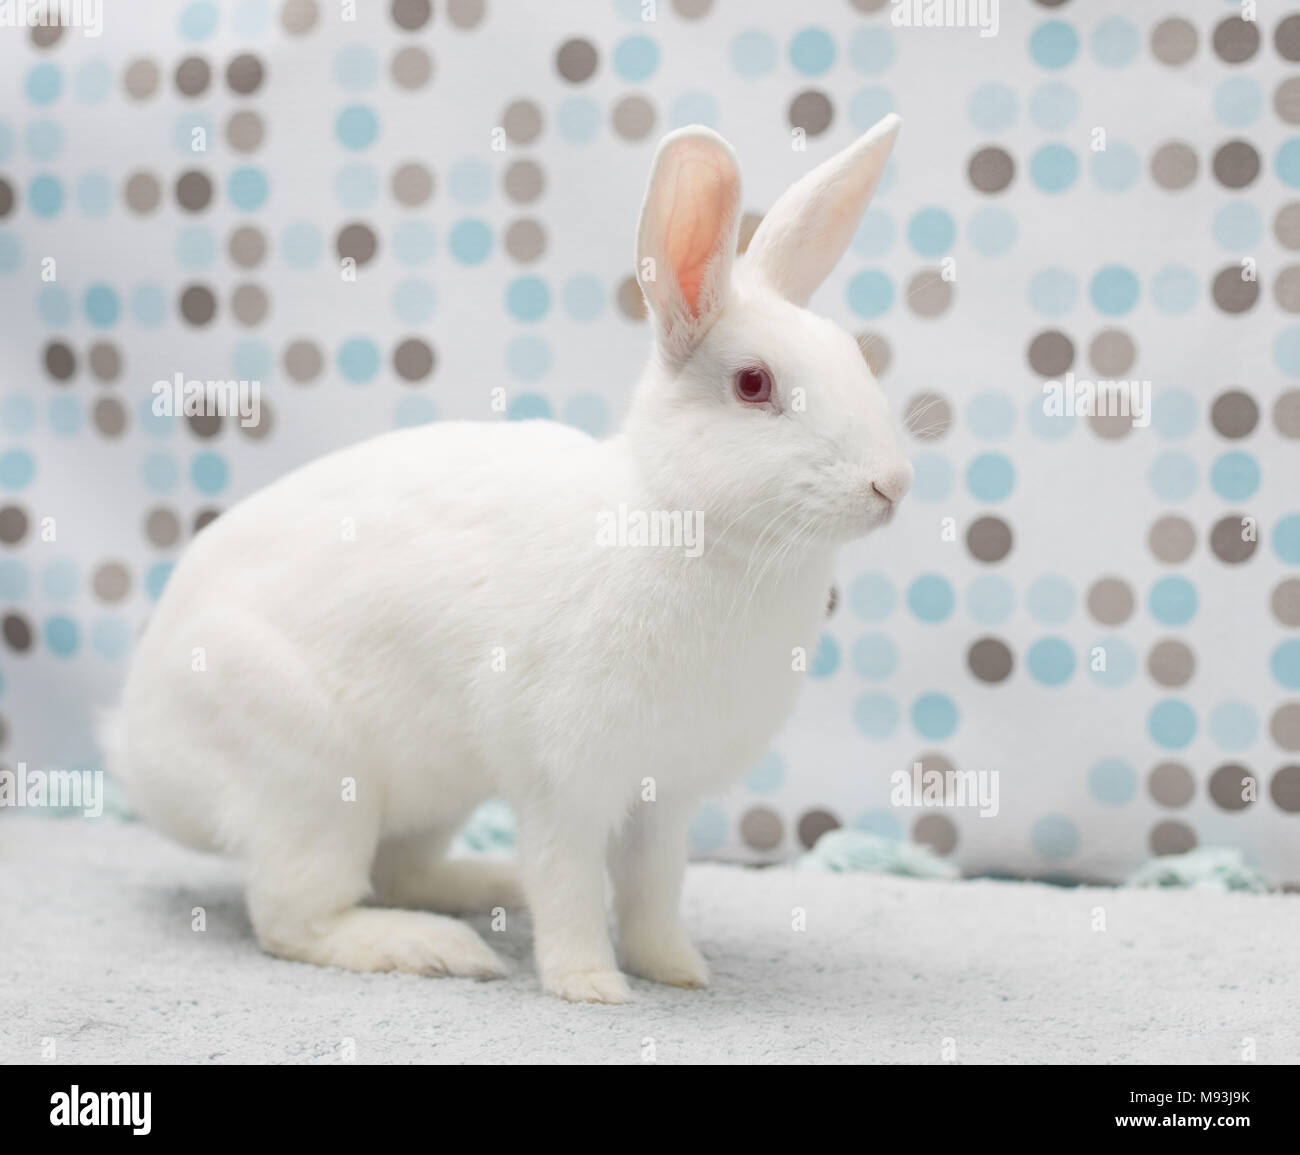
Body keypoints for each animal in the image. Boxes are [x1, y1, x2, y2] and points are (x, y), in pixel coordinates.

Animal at [101, 112, 911, 1004]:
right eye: (754, 384)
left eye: (855, 357)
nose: (892, 483)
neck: (675, 517)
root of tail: (139, 751)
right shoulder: (563, 785)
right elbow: (567, 886)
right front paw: (590, 983)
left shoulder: (663, 799)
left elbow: (653, 890)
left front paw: (677, 970)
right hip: (305, 774)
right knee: (297, 917)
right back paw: (432, 946)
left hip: (426, 797)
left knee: (398, 871)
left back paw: (484, 892)